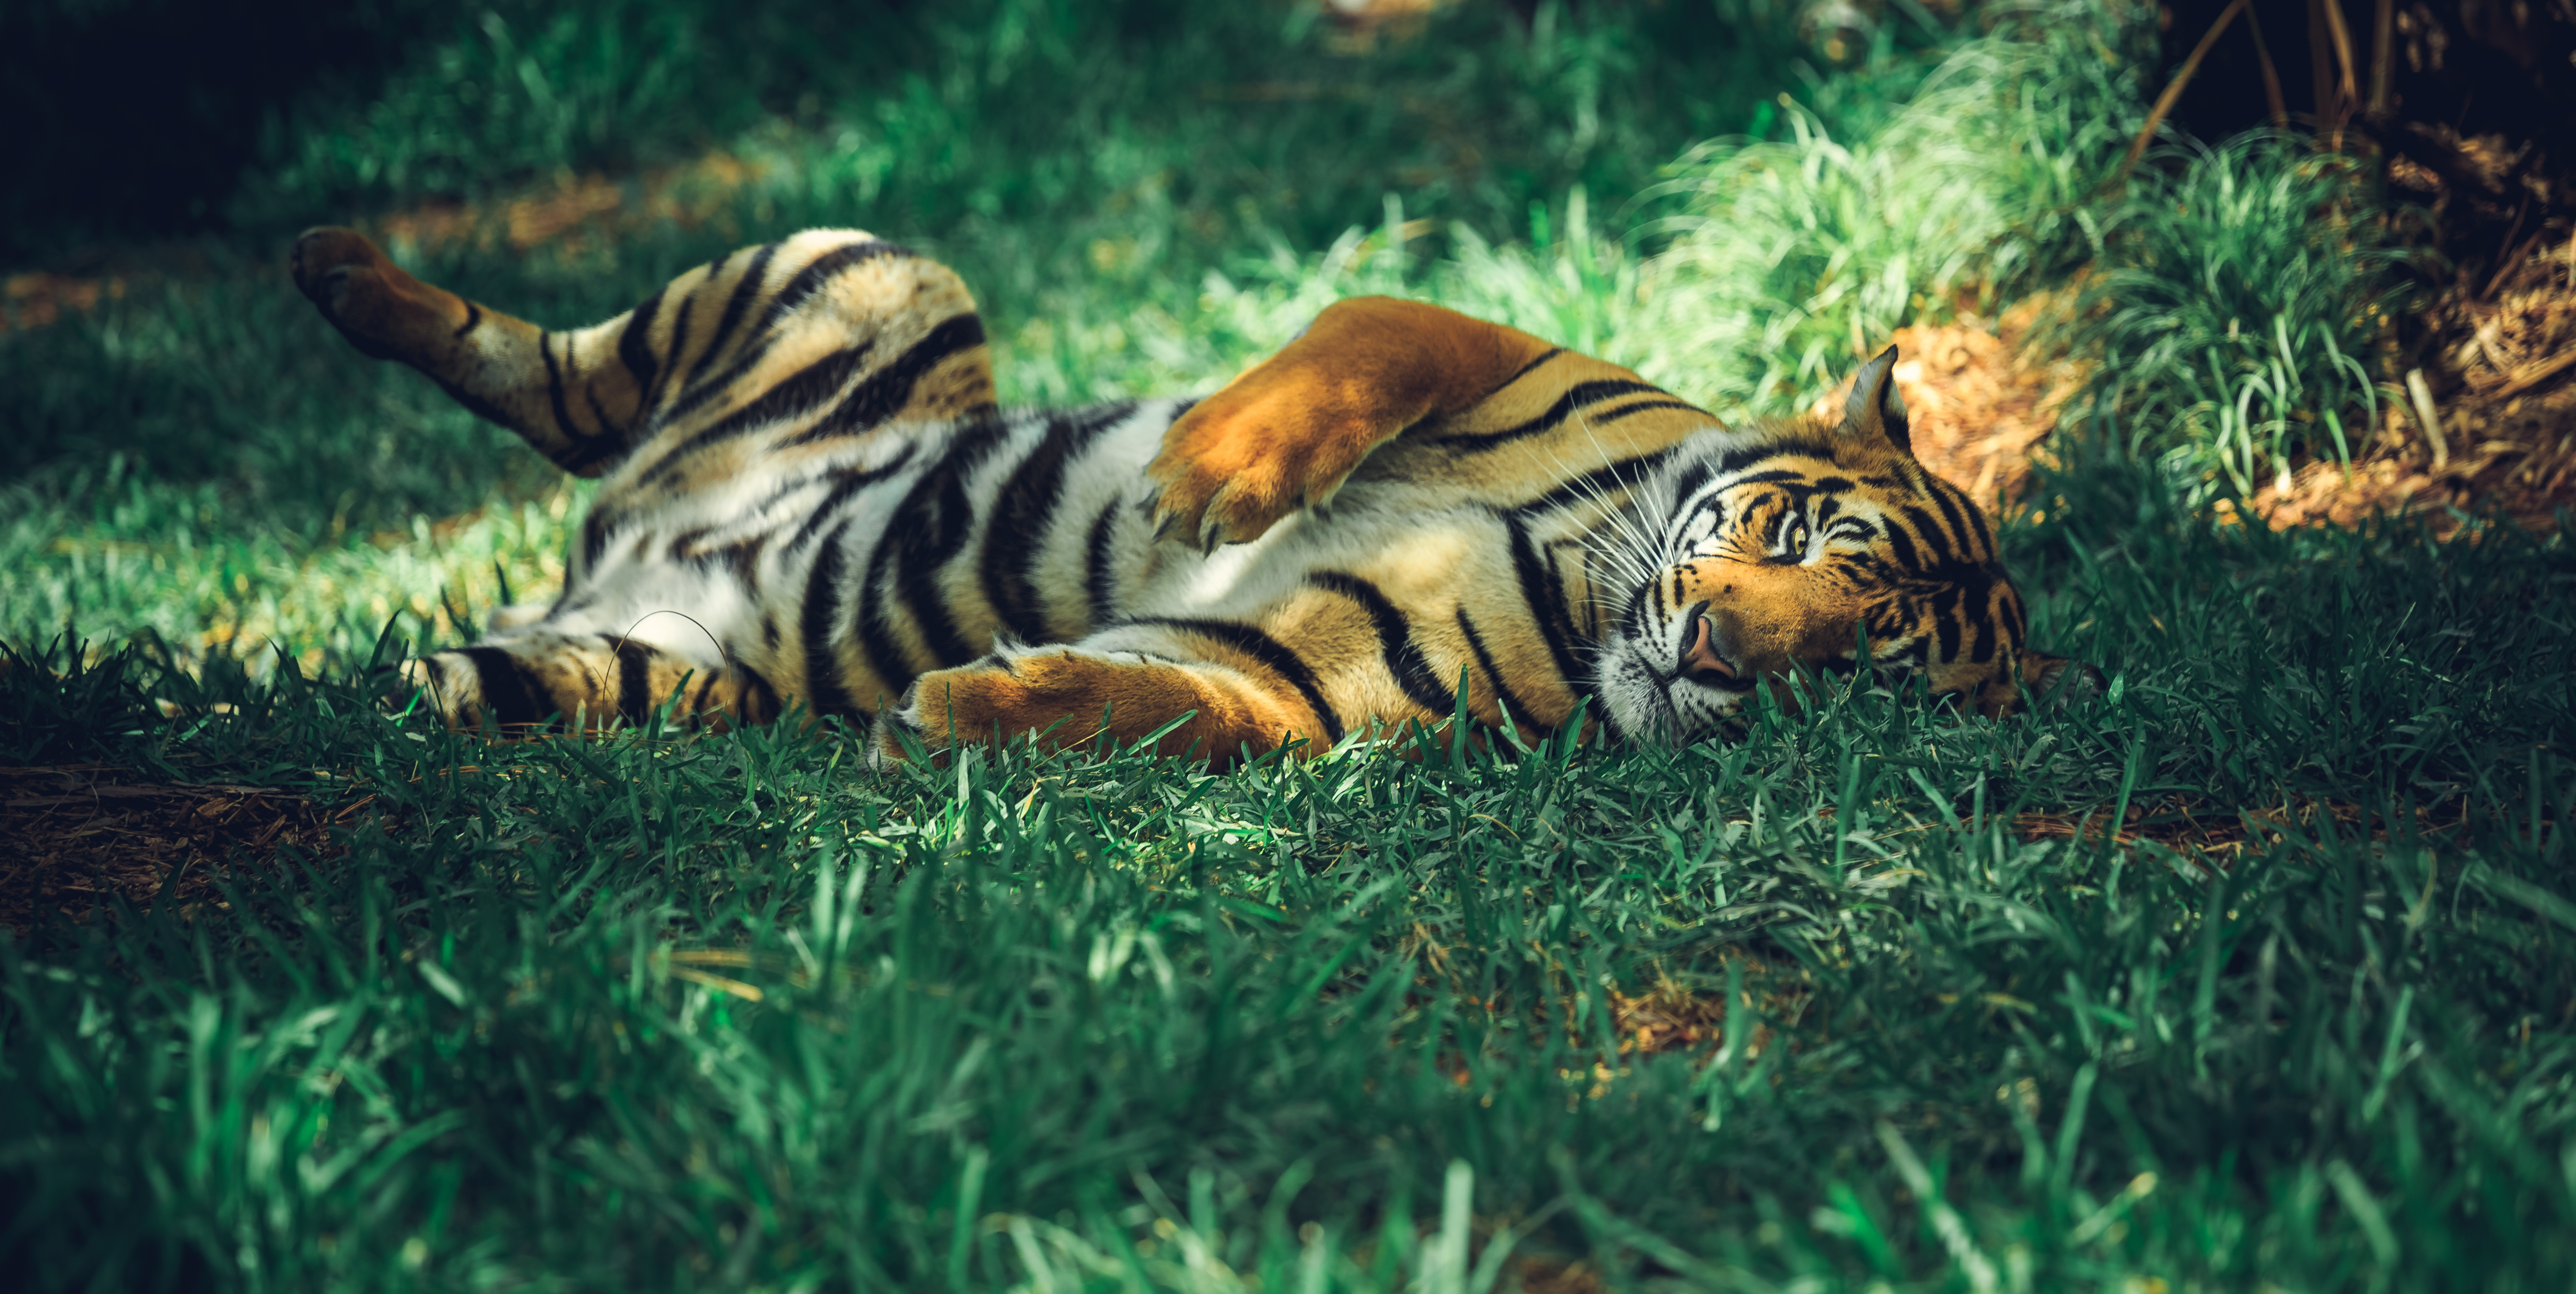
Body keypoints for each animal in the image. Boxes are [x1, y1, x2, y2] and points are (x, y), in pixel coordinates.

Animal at [288, 226, 2085, 768]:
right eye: (1786, 536)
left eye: (1850, 672)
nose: (1712, 651)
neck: (1592, 592)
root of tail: (610, 555)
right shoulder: (1499, 350)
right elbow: (1364, 336)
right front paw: (1208, 476)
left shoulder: (1328, 677)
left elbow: (1189, 701)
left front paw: (969, 707)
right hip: (859, 265)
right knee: (558, 374)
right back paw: (340, 270)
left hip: (619, 675)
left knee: (429, 674)